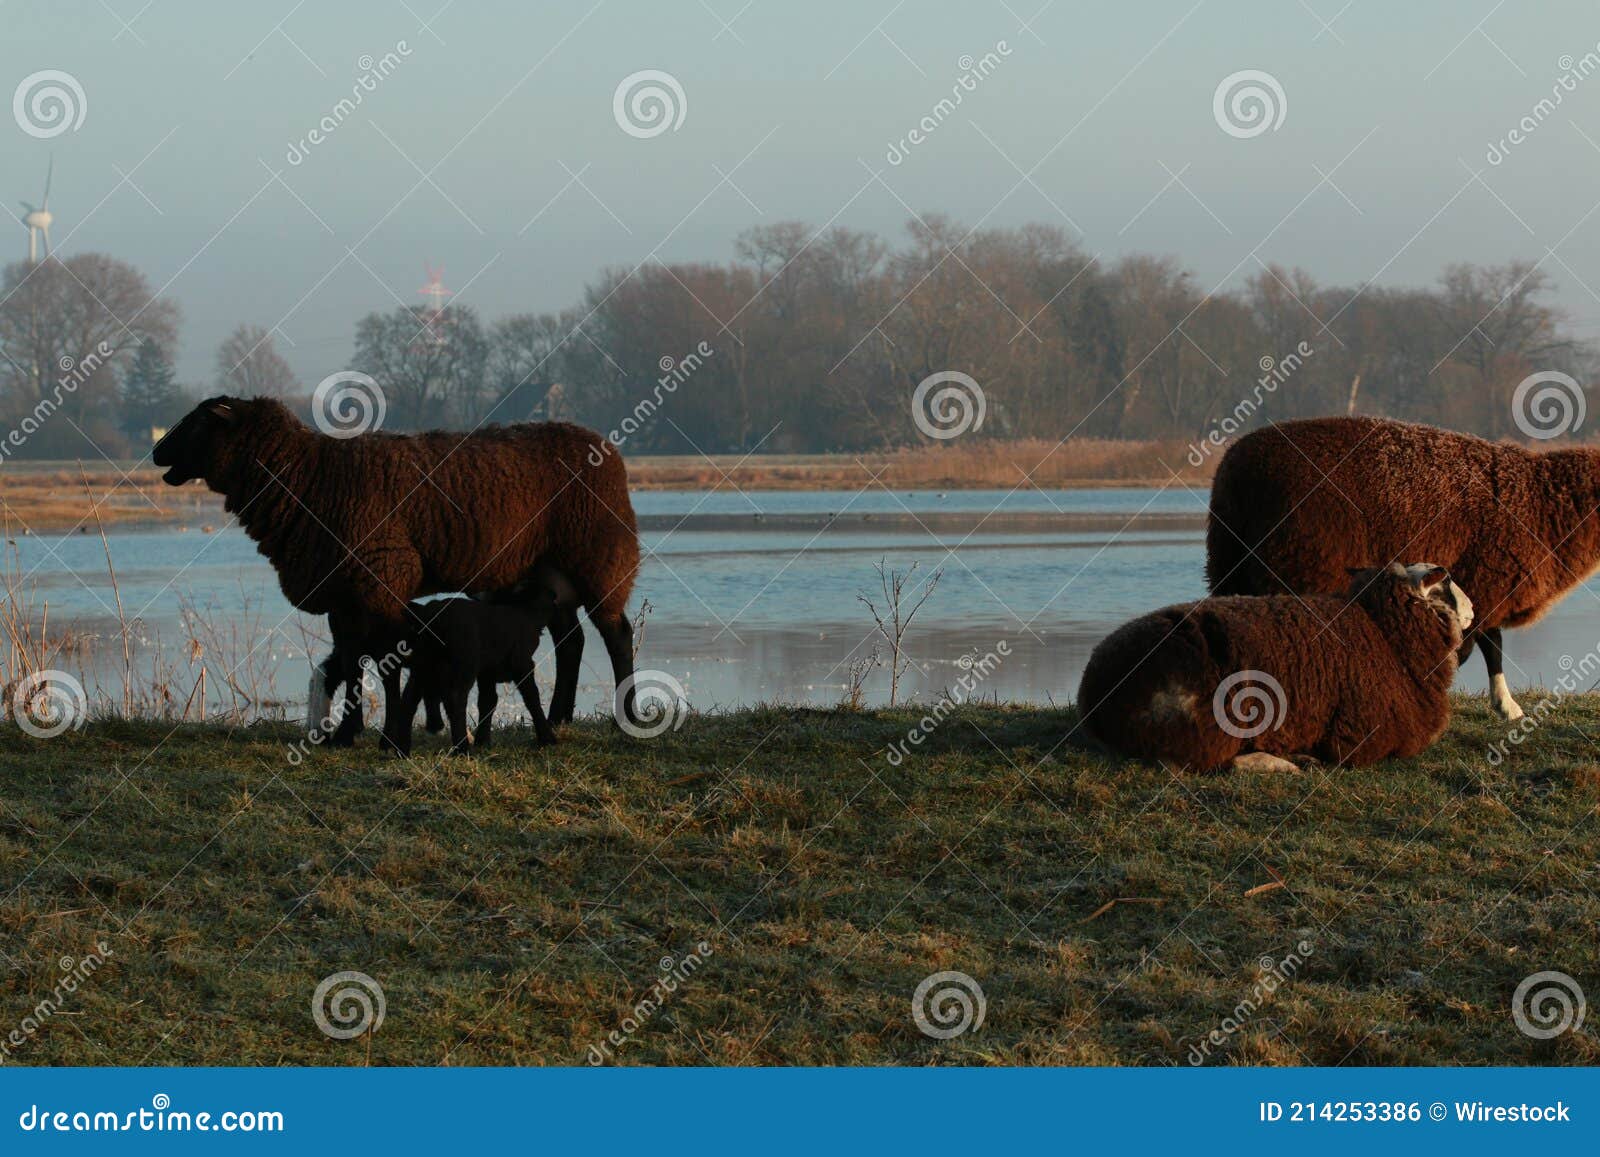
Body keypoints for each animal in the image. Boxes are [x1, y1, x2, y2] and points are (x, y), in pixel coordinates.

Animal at [391, 590, 560, 756]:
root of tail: (430, 613)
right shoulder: (522, 663)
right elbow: (532, 698)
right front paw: (547, 739)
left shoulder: (486, 671)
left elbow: (488, 701)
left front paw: (483, 741)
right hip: (463, 663)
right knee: (455, 699)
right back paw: (462, 749)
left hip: (422, 664)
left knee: (408, 700)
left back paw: (403, 750)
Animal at [1076, 563, 1473, 772]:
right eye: (1449, 580)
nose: (1472, 610)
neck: (1384, 634)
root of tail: (1093, 691)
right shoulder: (1363, 738)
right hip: (1210, 723)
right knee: (1215, 762)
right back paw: (1286, 761)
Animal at [1205, 415, 1600, 721]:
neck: (1542, 502)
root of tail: (1234, 470)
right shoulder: (1484, 581)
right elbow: (1486, 646)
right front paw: (1505, 705)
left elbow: (1484, 645)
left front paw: (1501, 704)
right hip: (1291, 566)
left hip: (1230, 563)